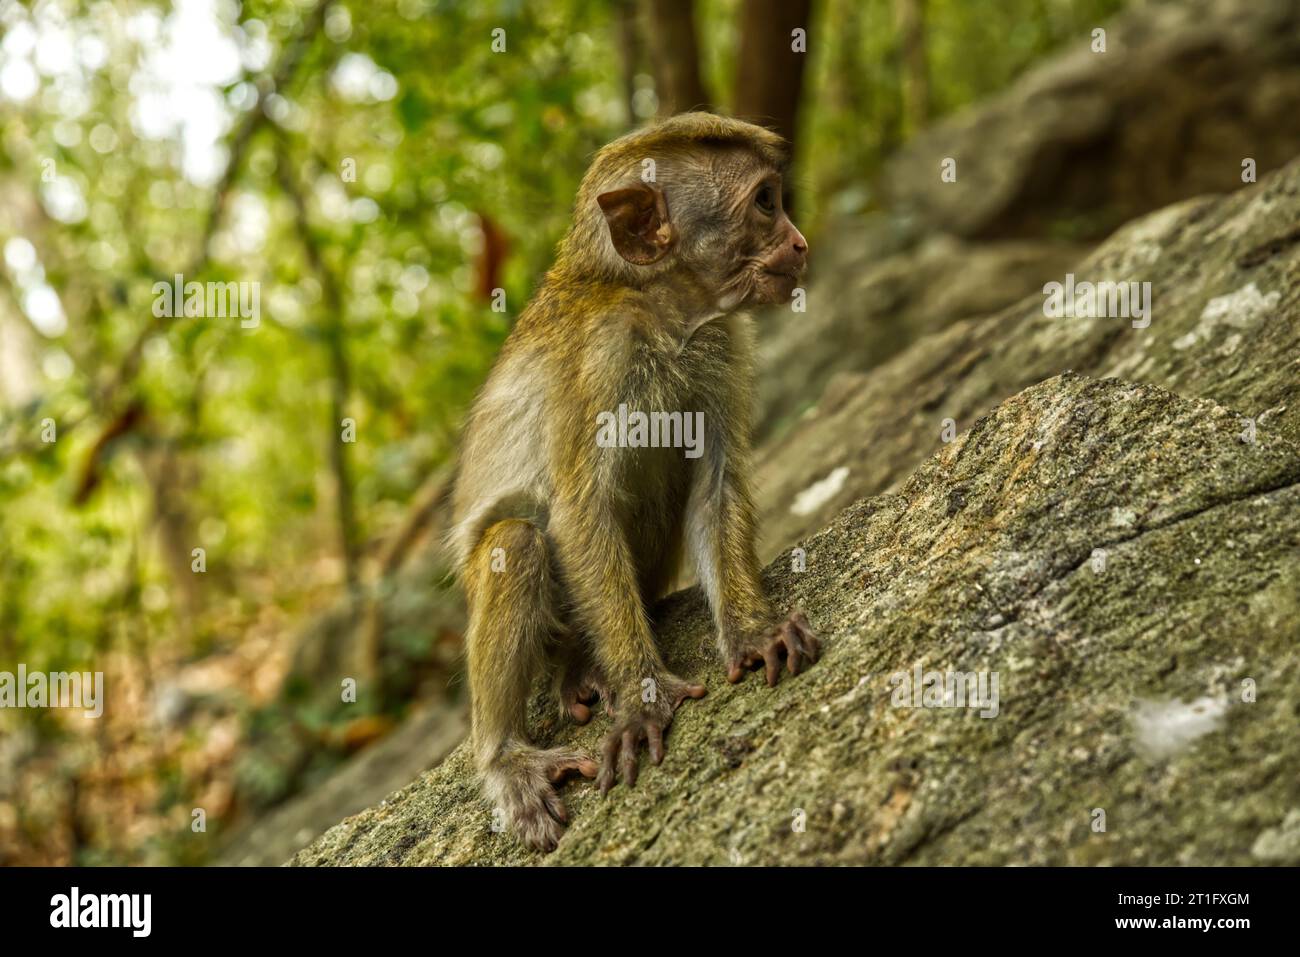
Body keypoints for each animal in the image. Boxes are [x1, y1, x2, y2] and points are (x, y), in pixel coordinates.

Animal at [449, 112, 820, 852]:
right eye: (766, 203)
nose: (799, 241)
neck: (660, 305)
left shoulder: (721, 341)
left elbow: (715, 483)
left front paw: (752, 629)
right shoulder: (599, 355)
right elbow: (579, 512)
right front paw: (642, 693)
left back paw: (583, 667)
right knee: (516, 542)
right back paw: (507, 755)